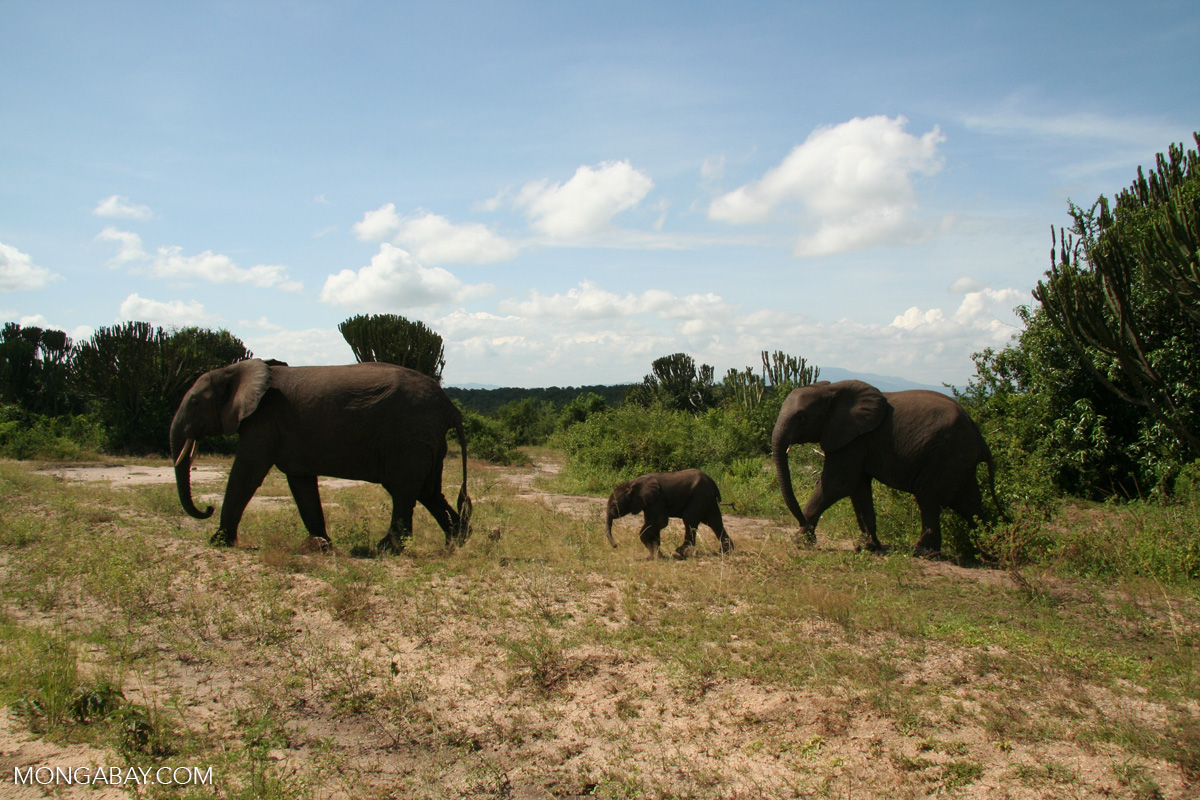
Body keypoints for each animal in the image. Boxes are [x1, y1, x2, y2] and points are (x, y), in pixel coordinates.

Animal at [170, 359, 471, 554]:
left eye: (194, 402)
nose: (206, 508)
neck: (235, 369)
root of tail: (449, 407)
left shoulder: (263, 421)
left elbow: (247, 473)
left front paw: (218, 542)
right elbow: (301, 483)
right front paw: (322, 546)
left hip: (407, 437)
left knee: (404, 490)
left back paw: (387, 549)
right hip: (425, 440)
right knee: (427, 491)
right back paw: (456, 541)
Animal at [605, 469, 734, 559]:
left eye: (614, 505)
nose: (616, 545)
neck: (633, 483)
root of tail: (714, 485)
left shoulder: (657, 499)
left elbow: (660, 522)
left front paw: (655, 555)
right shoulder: (649, 501)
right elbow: (655, 525)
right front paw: (655, 556)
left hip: (700, 496)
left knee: (690, 518)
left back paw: (683, 552)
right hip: (708, 499)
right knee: (714, 521)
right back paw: (726, 552)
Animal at [771, 380, 998, 557]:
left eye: (802, 417)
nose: (801, 522)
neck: (829, 390)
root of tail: (979, 437)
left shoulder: (854, 439)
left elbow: (837, 484)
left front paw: (799, 540)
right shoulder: (856, 440)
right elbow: (858, 489)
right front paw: (867, 547)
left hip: (946, 454)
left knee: (929, 498)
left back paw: (922, 552)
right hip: (958, 459)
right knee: (970, 504)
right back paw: (991, 551)